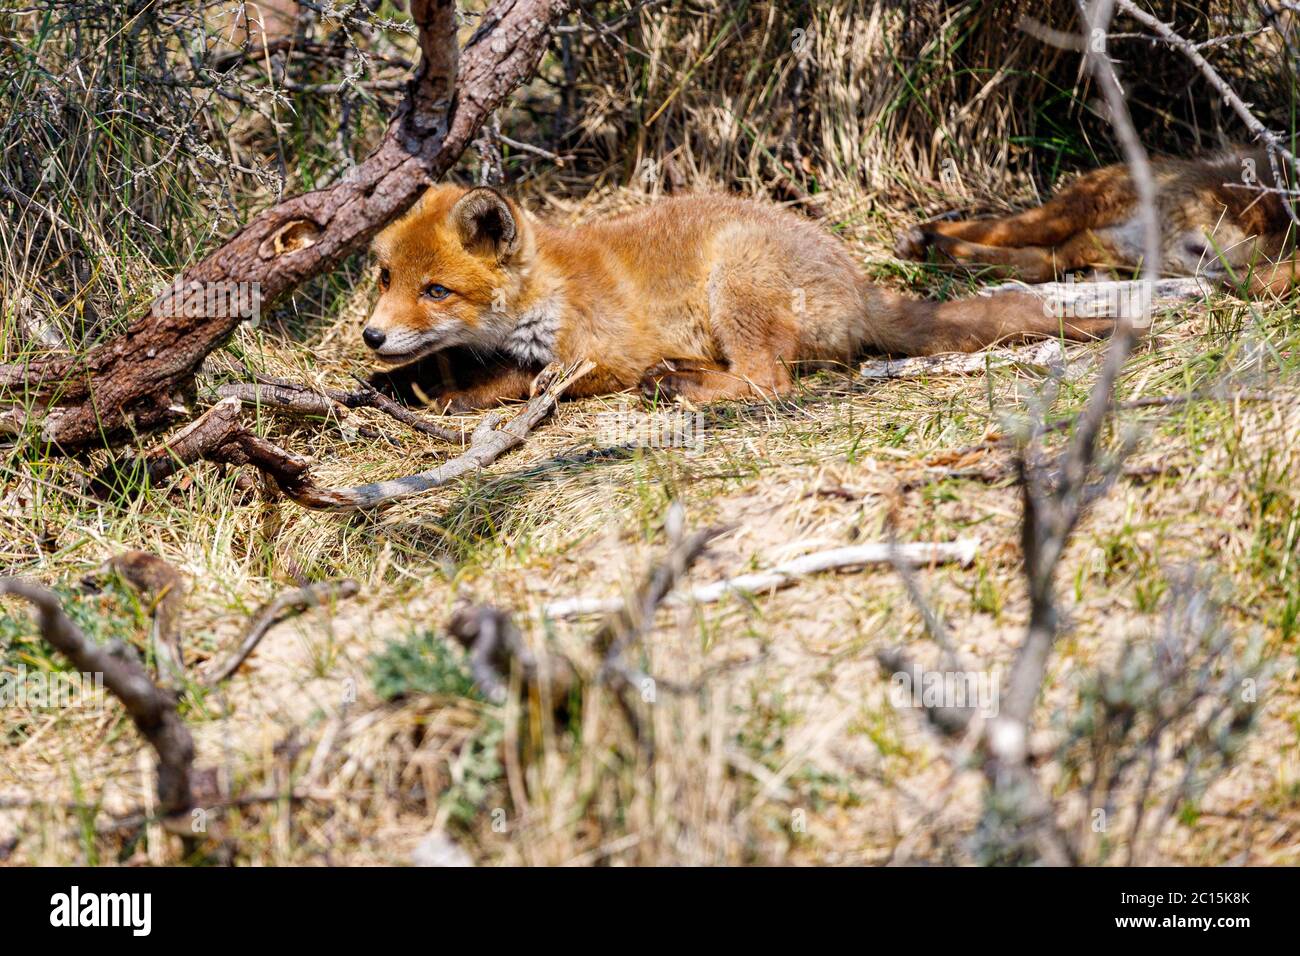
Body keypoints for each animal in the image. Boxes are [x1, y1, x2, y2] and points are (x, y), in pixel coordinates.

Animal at [363, 185, 1115, 409]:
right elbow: (444, 365)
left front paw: (447, 396)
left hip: (734, 280)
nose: (370, 335)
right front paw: (392, 383)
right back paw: (681, 375)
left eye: (437, 290)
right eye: (386, 278)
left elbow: (514, 379)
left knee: (767, 381)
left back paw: (684, 388)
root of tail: (859, 283)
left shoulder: (602, 354)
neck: (549, 289)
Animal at [895, 146, 1298, 294]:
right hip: (1096, 230)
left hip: (1089, 219)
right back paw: (934, 248)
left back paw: (932, 245)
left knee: (1029, 244)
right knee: (1028, 249)